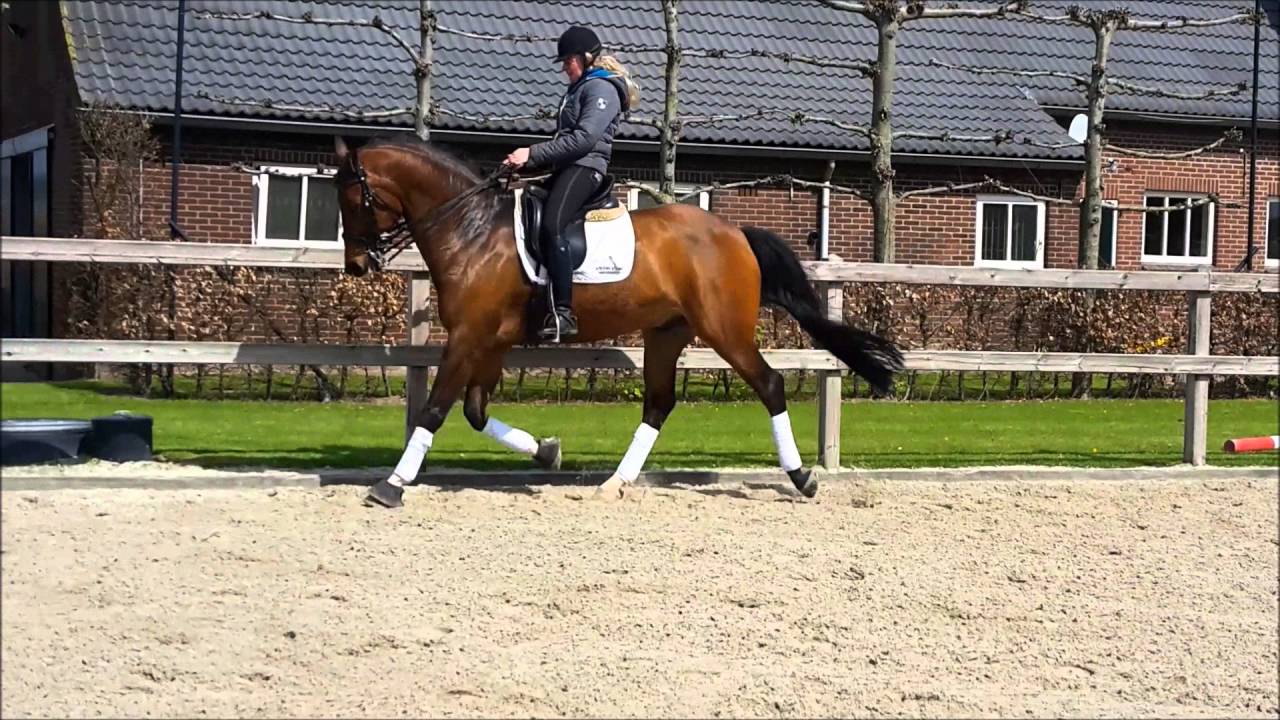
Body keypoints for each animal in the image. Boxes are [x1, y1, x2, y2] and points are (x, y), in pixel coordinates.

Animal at [332, 135, 904, 508]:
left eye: (353, 197)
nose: (356, 265)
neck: (472, 231)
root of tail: (734, 232)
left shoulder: (469, 338)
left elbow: (433, 410)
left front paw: (391, 486)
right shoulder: (489, 342)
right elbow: (473, 412)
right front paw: (548, 453)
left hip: (725, 331)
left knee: (769, 385)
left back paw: (803, 478)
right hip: (667, 333)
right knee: (659, 402)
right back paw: (615, 482)